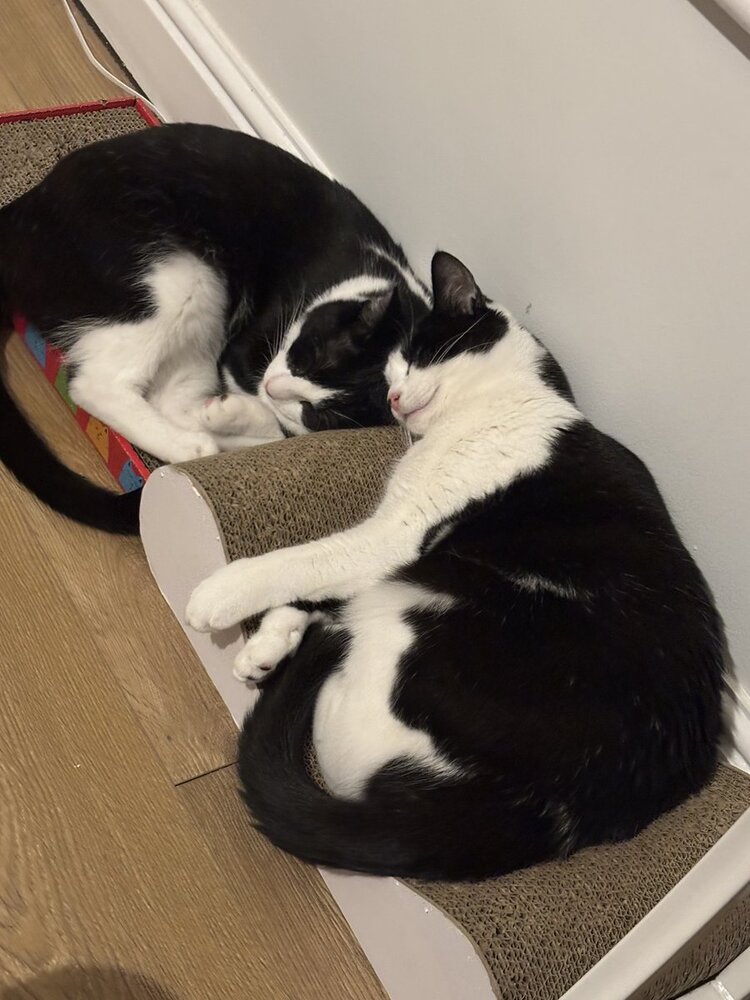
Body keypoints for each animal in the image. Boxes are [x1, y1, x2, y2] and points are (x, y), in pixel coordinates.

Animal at [0, 124, 429, 533]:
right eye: (308, 355)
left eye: (318, 413)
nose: (274, 386)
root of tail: (21, 216)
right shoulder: (246, 350)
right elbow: (270, 414)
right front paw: (236, 413)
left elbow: (284, 428)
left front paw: (229, 414)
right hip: (180, 278)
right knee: (95, 386)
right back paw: (191, 446)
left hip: (202, 315)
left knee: (166, 398)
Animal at [186, 250, 726, 881]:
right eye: (389, 375)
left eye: (415, 358)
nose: (395, 399)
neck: (505, 402)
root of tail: (553, 812)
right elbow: (321, 576)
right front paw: (270, 641)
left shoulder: (394, 539)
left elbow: (308, 559)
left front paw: (221, 594)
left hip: (411, 610)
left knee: (342, 721)